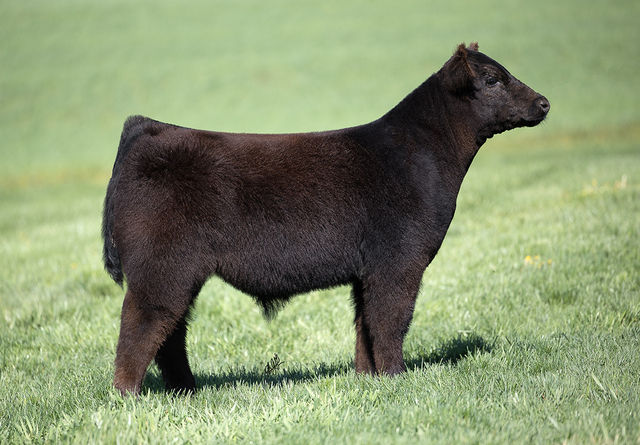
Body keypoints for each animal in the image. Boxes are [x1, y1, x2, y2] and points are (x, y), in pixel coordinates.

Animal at [102, 43, 549, 396]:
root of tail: (149, 127)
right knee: (142, 325)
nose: (544, 102)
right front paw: (397, 377)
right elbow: (391, 320)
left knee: (171, 332)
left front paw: (369, 379)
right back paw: (130, 396)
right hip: (162, 268)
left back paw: (186, 391)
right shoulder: (399, 261)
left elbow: (364, 325)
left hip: (178, 273)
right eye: (491, 79)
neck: (420, 155)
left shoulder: (366, 270)